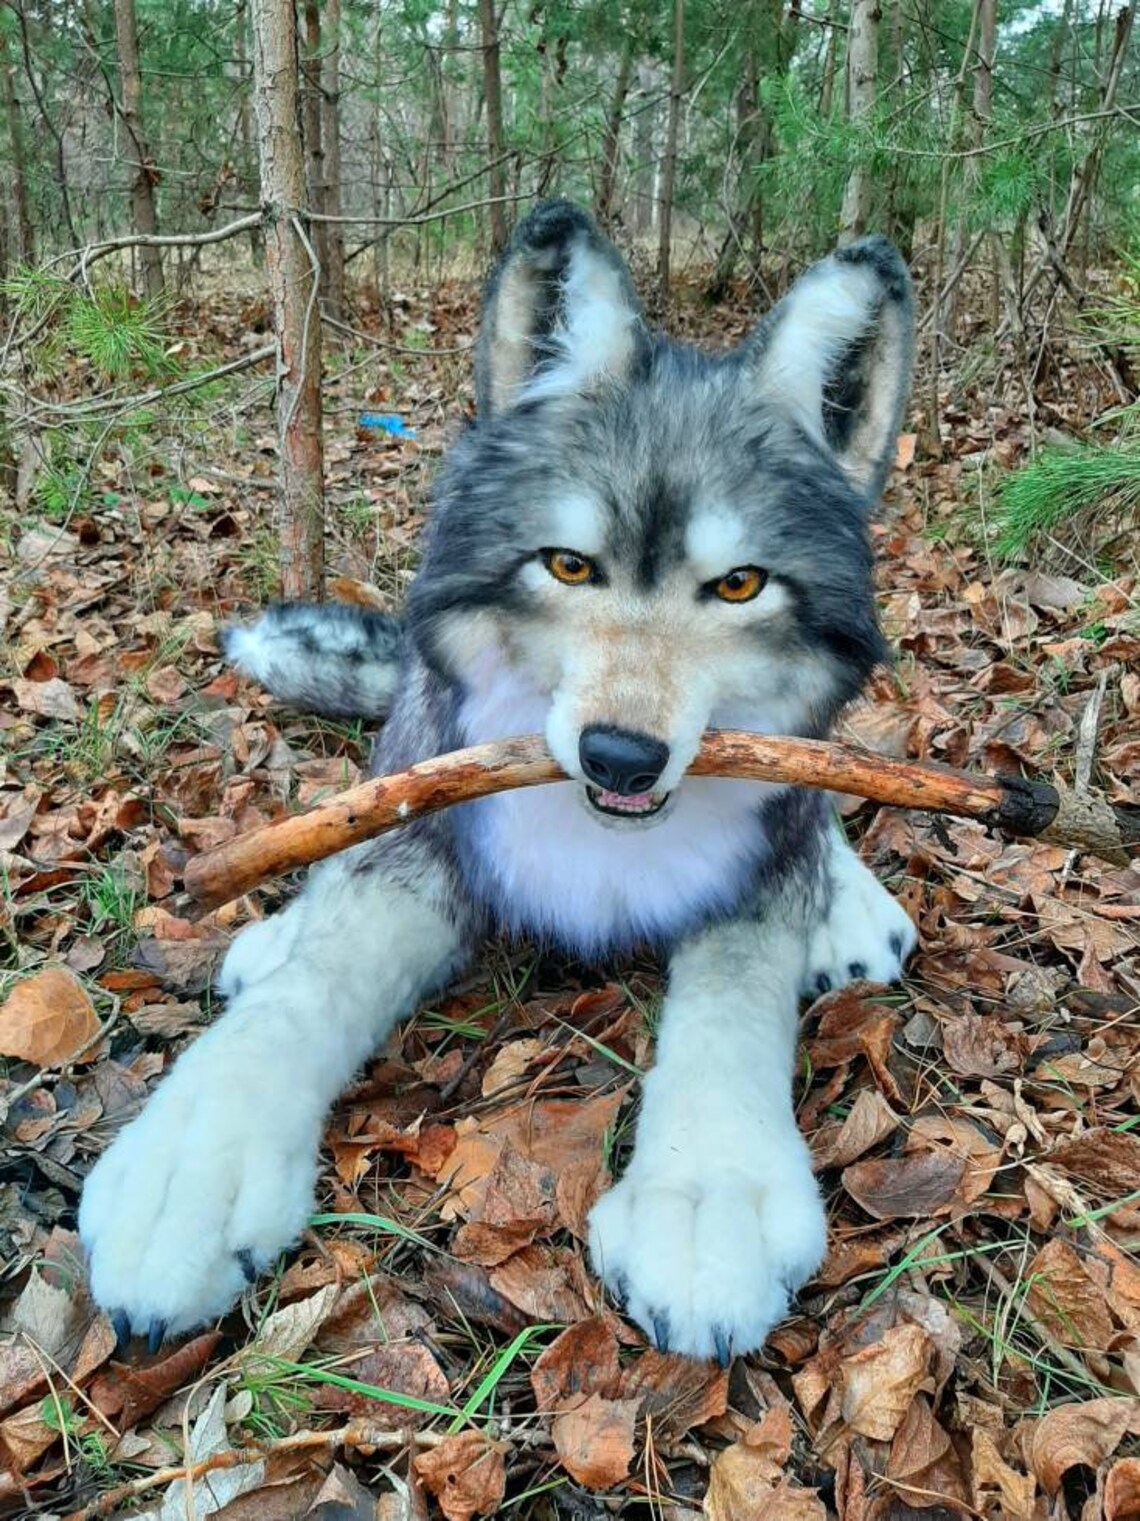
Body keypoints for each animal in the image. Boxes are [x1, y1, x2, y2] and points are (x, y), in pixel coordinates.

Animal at [79, 201, 916, 1364]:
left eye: (740, 584)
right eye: (568, 565)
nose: (621, 757)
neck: (598, 834)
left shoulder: (751, 877)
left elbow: (734, 1006)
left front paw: (708, 1191)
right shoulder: (423, 846)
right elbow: (310, 991)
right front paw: (193, 1167)